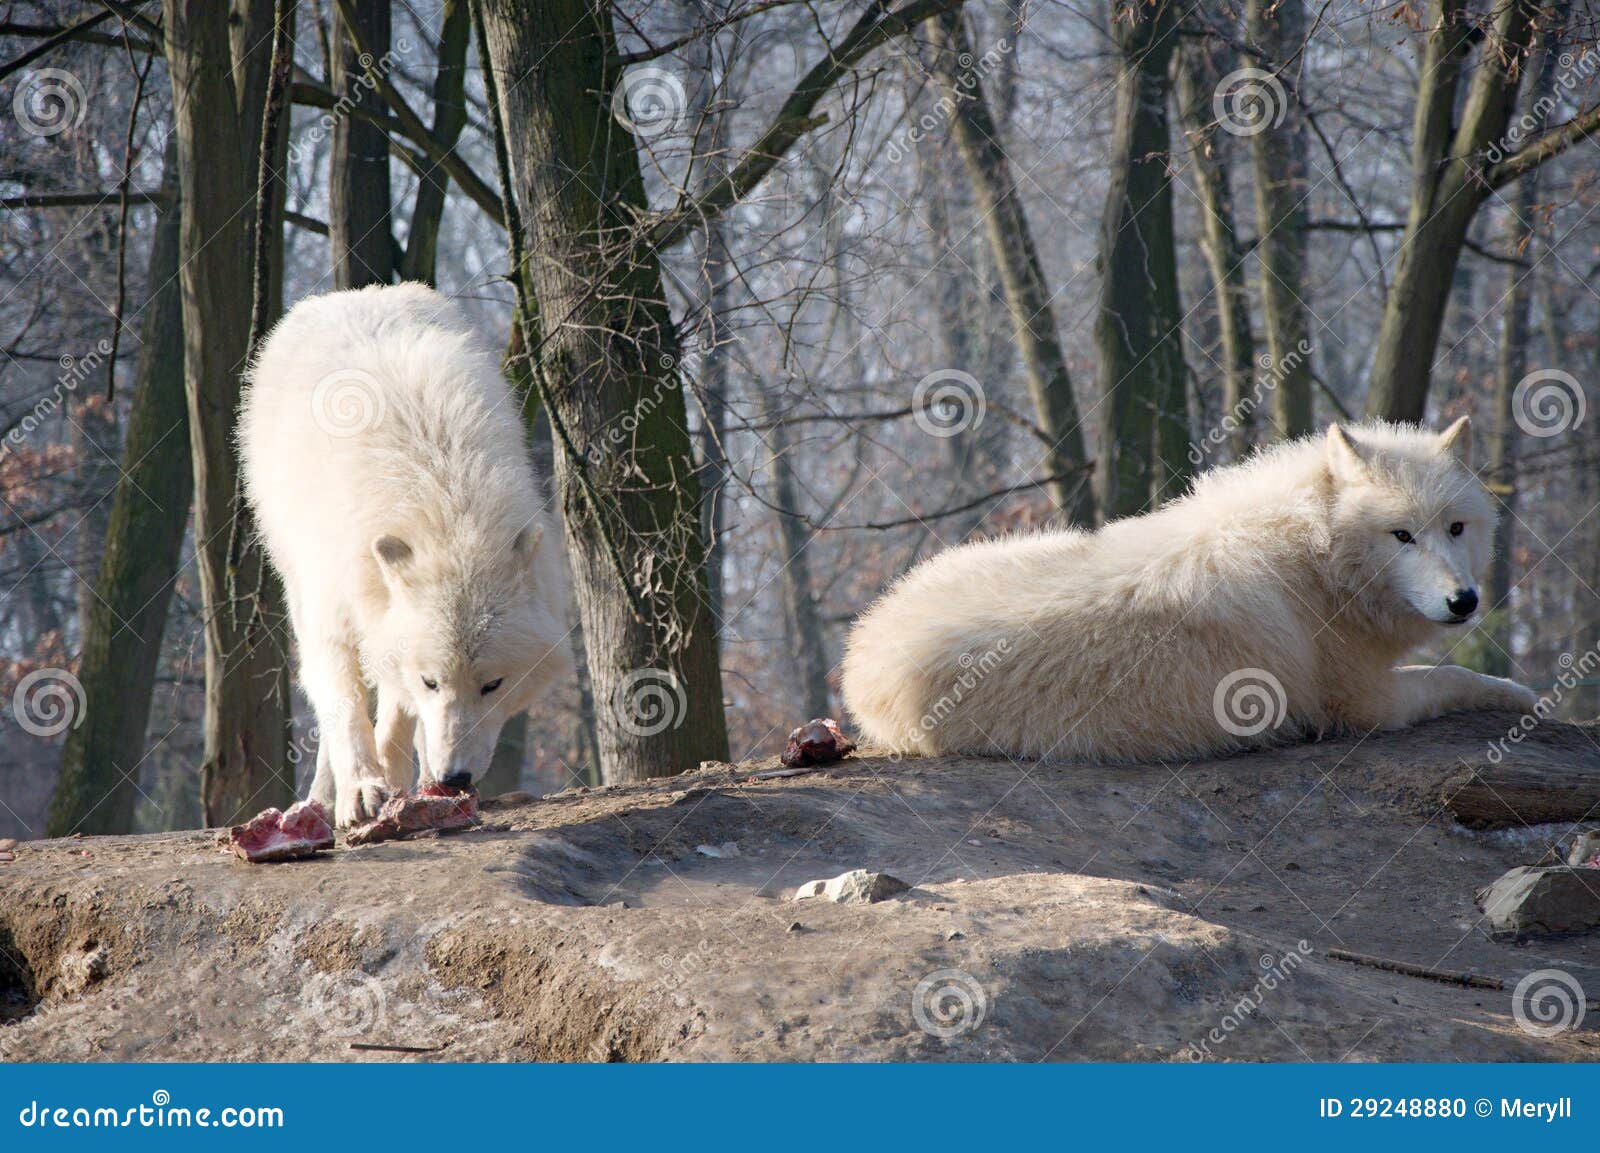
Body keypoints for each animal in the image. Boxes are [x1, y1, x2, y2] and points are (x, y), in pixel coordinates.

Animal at [241, 283, 573, 825]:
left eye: (493, 684)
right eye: (431, 681)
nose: (454, 777)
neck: (443, 501)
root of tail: (353, 293)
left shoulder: (387, 628)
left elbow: (396, 714)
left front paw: (395, 783)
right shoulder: (336, 613)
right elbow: (347, 710)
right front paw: (361, 790)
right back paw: (322, 799)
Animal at [841, 419, 1537, 763]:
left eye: (1456, 528)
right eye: (1401, 536)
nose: (1464, 601)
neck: (1313, 555)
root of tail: (861, 655)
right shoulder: (1367, 705)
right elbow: (1455, 677)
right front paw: (1523, 695)